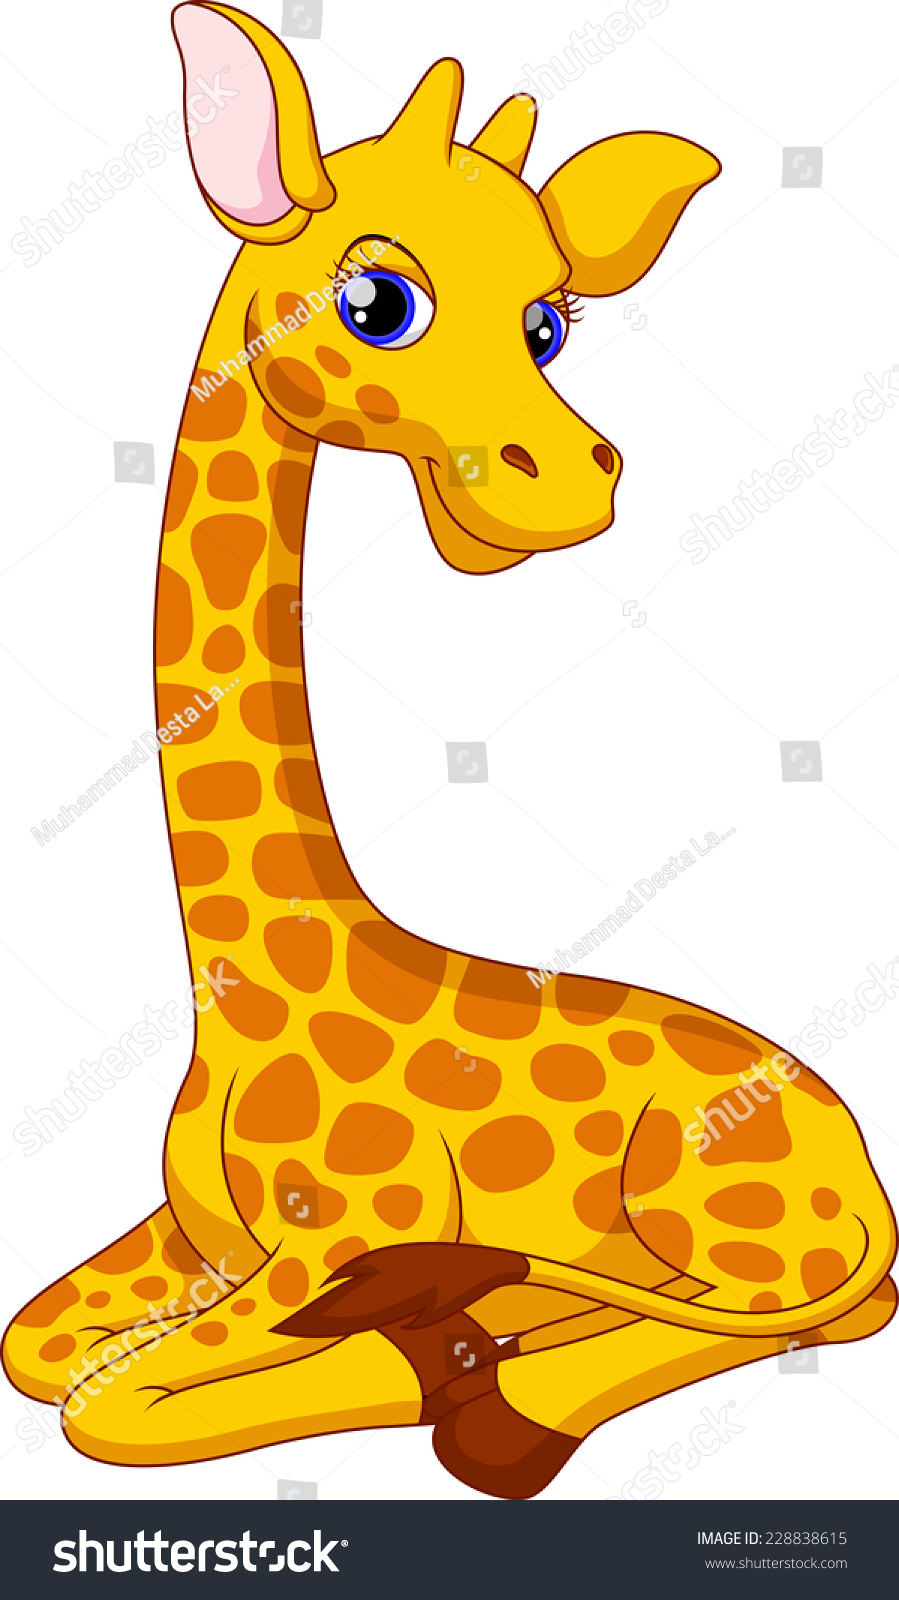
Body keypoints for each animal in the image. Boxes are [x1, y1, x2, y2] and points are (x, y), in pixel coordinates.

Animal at [4, 1, 895, 1501]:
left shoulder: (317, 1241)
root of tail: (857, 1143)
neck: (241, 994)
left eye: (545, 322)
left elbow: (112, 1403)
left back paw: (502, 1379)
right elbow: (35, 1344)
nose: (569, 479)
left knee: (818, 1299)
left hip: (701, 1202)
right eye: (377, 300)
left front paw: (435, 1343)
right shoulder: (190, 1238)